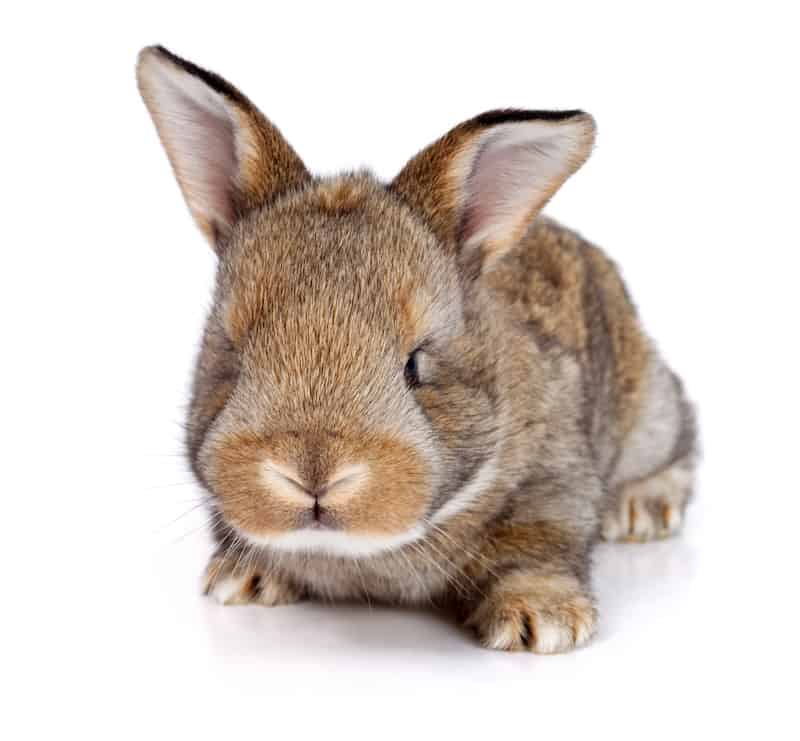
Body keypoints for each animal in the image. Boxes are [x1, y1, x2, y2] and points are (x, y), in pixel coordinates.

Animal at [137, 45, 697, 653]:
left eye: (416, 364)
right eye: (233, 356)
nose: (314, 476)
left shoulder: (554, 479)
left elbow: (538, 543)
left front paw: (541, 622)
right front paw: (246, 577)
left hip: (650, 413)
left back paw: (641, 509)